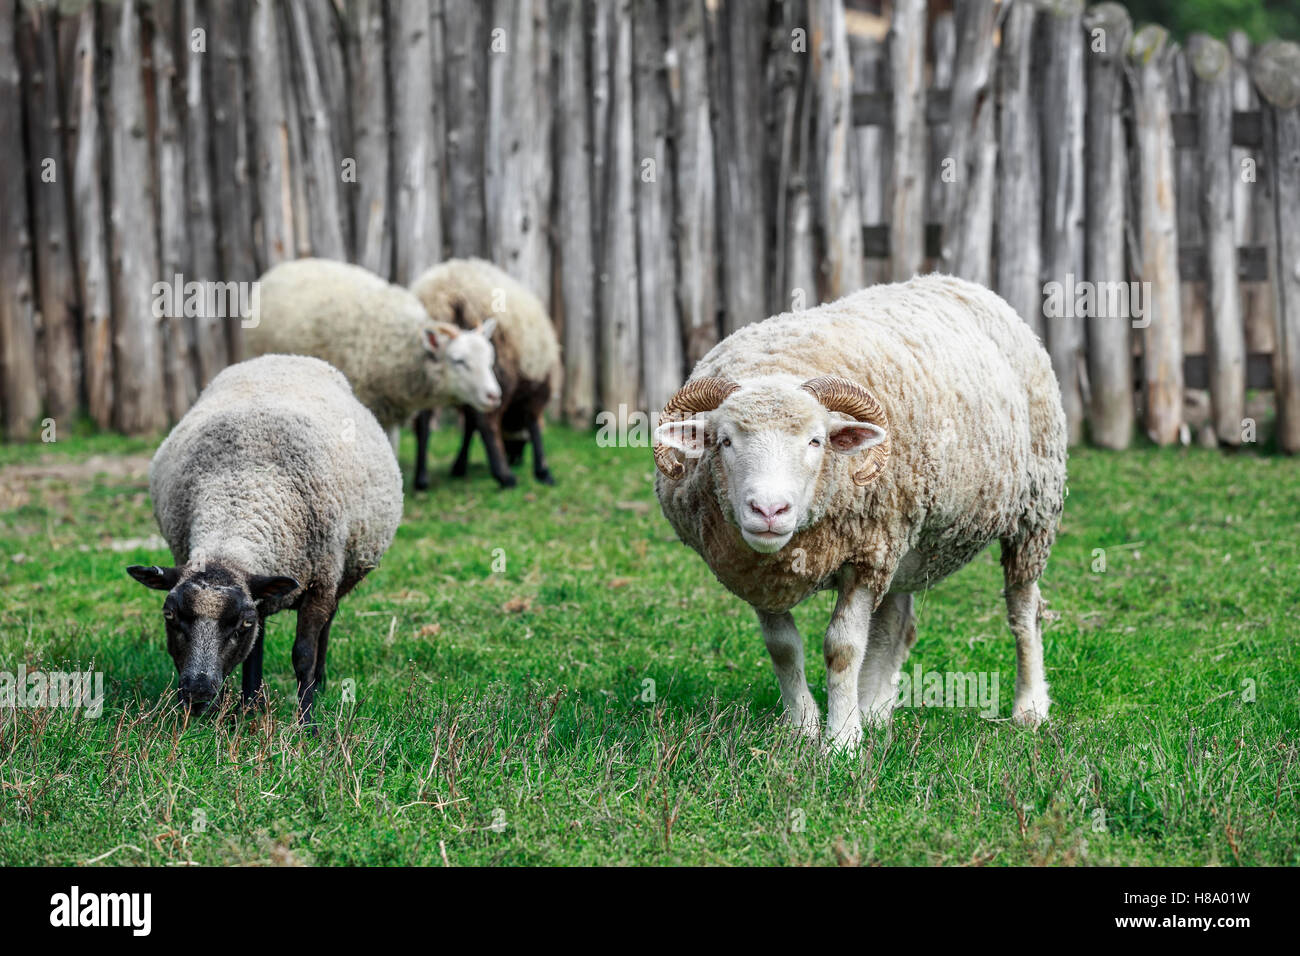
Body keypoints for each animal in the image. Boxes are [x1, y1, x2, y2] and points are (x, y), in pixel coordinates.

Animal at [126, 354, 403, 723]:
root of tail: (281, 357)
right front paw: (246, 710)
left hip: (340, 571)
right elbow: (254, 649)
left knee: (328, 625)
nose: (198, 693)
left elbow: (303, 655)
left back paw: (320, 684)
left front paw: (307, 723)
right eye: (170, 616)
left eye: (242, 623)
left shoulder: (320, 584)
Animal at [410, 258, 561, 489]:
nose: (516, 460)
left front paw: (459, 465)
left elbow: (469, 426)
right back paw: (505, 477)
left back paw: (421, 478)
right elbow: (533, 424)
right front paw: (543, 472)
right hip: (498, 374)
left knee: (423, 419)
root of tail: (446, 292)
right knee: (487, 422)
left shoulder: (469, 392)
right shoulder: (536, 388)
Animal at [652, 274, 1067, 751]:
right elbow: (783, 648)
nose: (769, 510)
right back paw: (875, 708)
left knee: (1024, 613)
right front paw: (804, 727)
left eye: (816, 441)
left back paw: (1030, 707)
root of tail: (957, 281)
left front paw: (843, 739)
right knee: (896, 624)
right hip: (905, 542)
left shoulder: (866, 554)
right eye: (724, 441)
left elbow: (843, 647)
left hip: (1034, 510)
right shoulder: (760, 572)